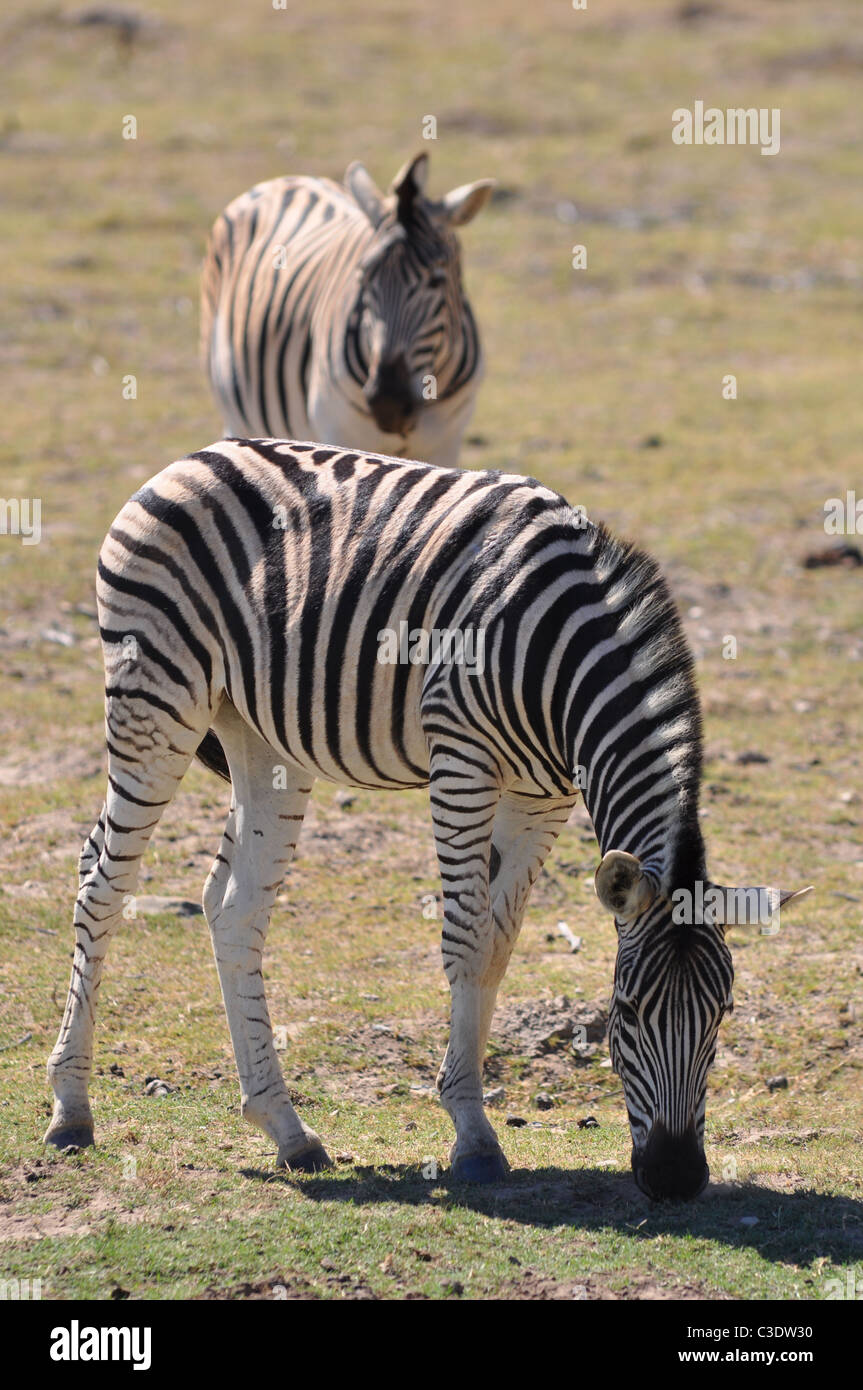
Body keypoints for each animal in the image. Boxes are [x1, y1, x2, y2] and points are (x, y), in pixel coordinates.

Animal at [44, 439, 810, 1198]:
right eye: (625, 1011)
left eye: (723, 1014)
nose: (676, 1178)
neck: (562, 661)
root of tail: (196, 455)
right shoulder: (463, 764)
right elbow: (467, 943)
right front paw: (473, 1138)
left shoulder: (544, 799)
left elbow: (498, 947)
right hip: (157, 696)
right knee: (102, 884)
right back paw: (71, 1111)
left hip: (261, 738)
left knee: (233, 910)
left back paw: (287, 1131)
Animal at [200, 153, 493, 468]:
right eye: (363, 277)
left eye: (436, 281)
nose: (387, 404)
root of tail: (286, 180)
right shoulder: (340, 433)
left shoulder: (445, 444)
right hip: (235, 408)